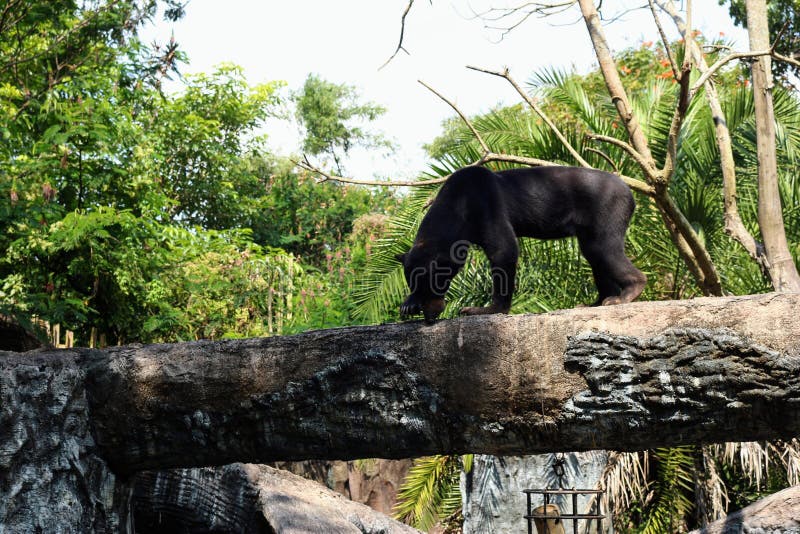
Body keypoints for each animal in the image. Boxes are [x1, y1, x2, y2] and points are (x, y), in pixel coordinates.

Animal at [395, 165, 647, 323]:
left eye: (434, 284)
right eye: (415, 285)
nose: (429, 317)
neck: (454, 206)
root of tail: (630, 192)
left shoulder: (486, 207)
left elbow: (503, 250)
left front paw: (483, 310)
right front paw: (408, 305)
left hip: (607, 210)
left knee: (605, 249)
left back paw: (624, 295)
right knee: (595, 255)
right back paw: (594, 303)